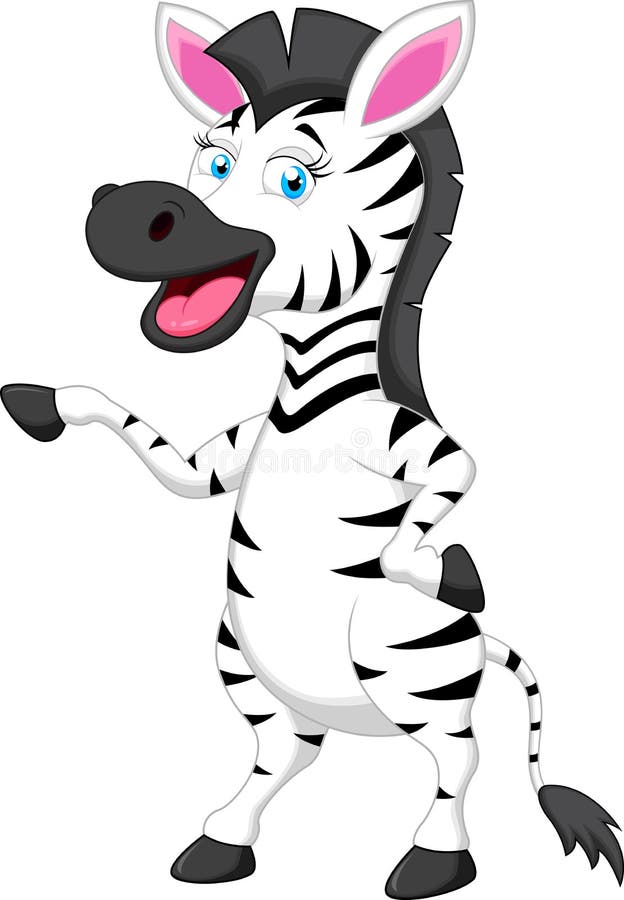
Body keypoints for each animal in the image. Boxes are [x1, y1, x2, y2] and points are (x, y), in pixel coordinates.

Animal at [2, 3, 622, 897]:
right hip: (238, 654)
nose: (122, 209)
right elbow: (159, 454)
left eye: (293, 181)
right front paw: (40, 404)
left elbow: (447, 489)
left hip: (404, 661)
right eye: (213, 161)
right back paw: (222, 842)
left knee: (455, 757)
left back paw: (435, 861)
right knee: (286, 750)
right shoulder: (218, 460)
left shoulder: (411, 445)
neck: (302, 404)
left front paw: (452, 570)